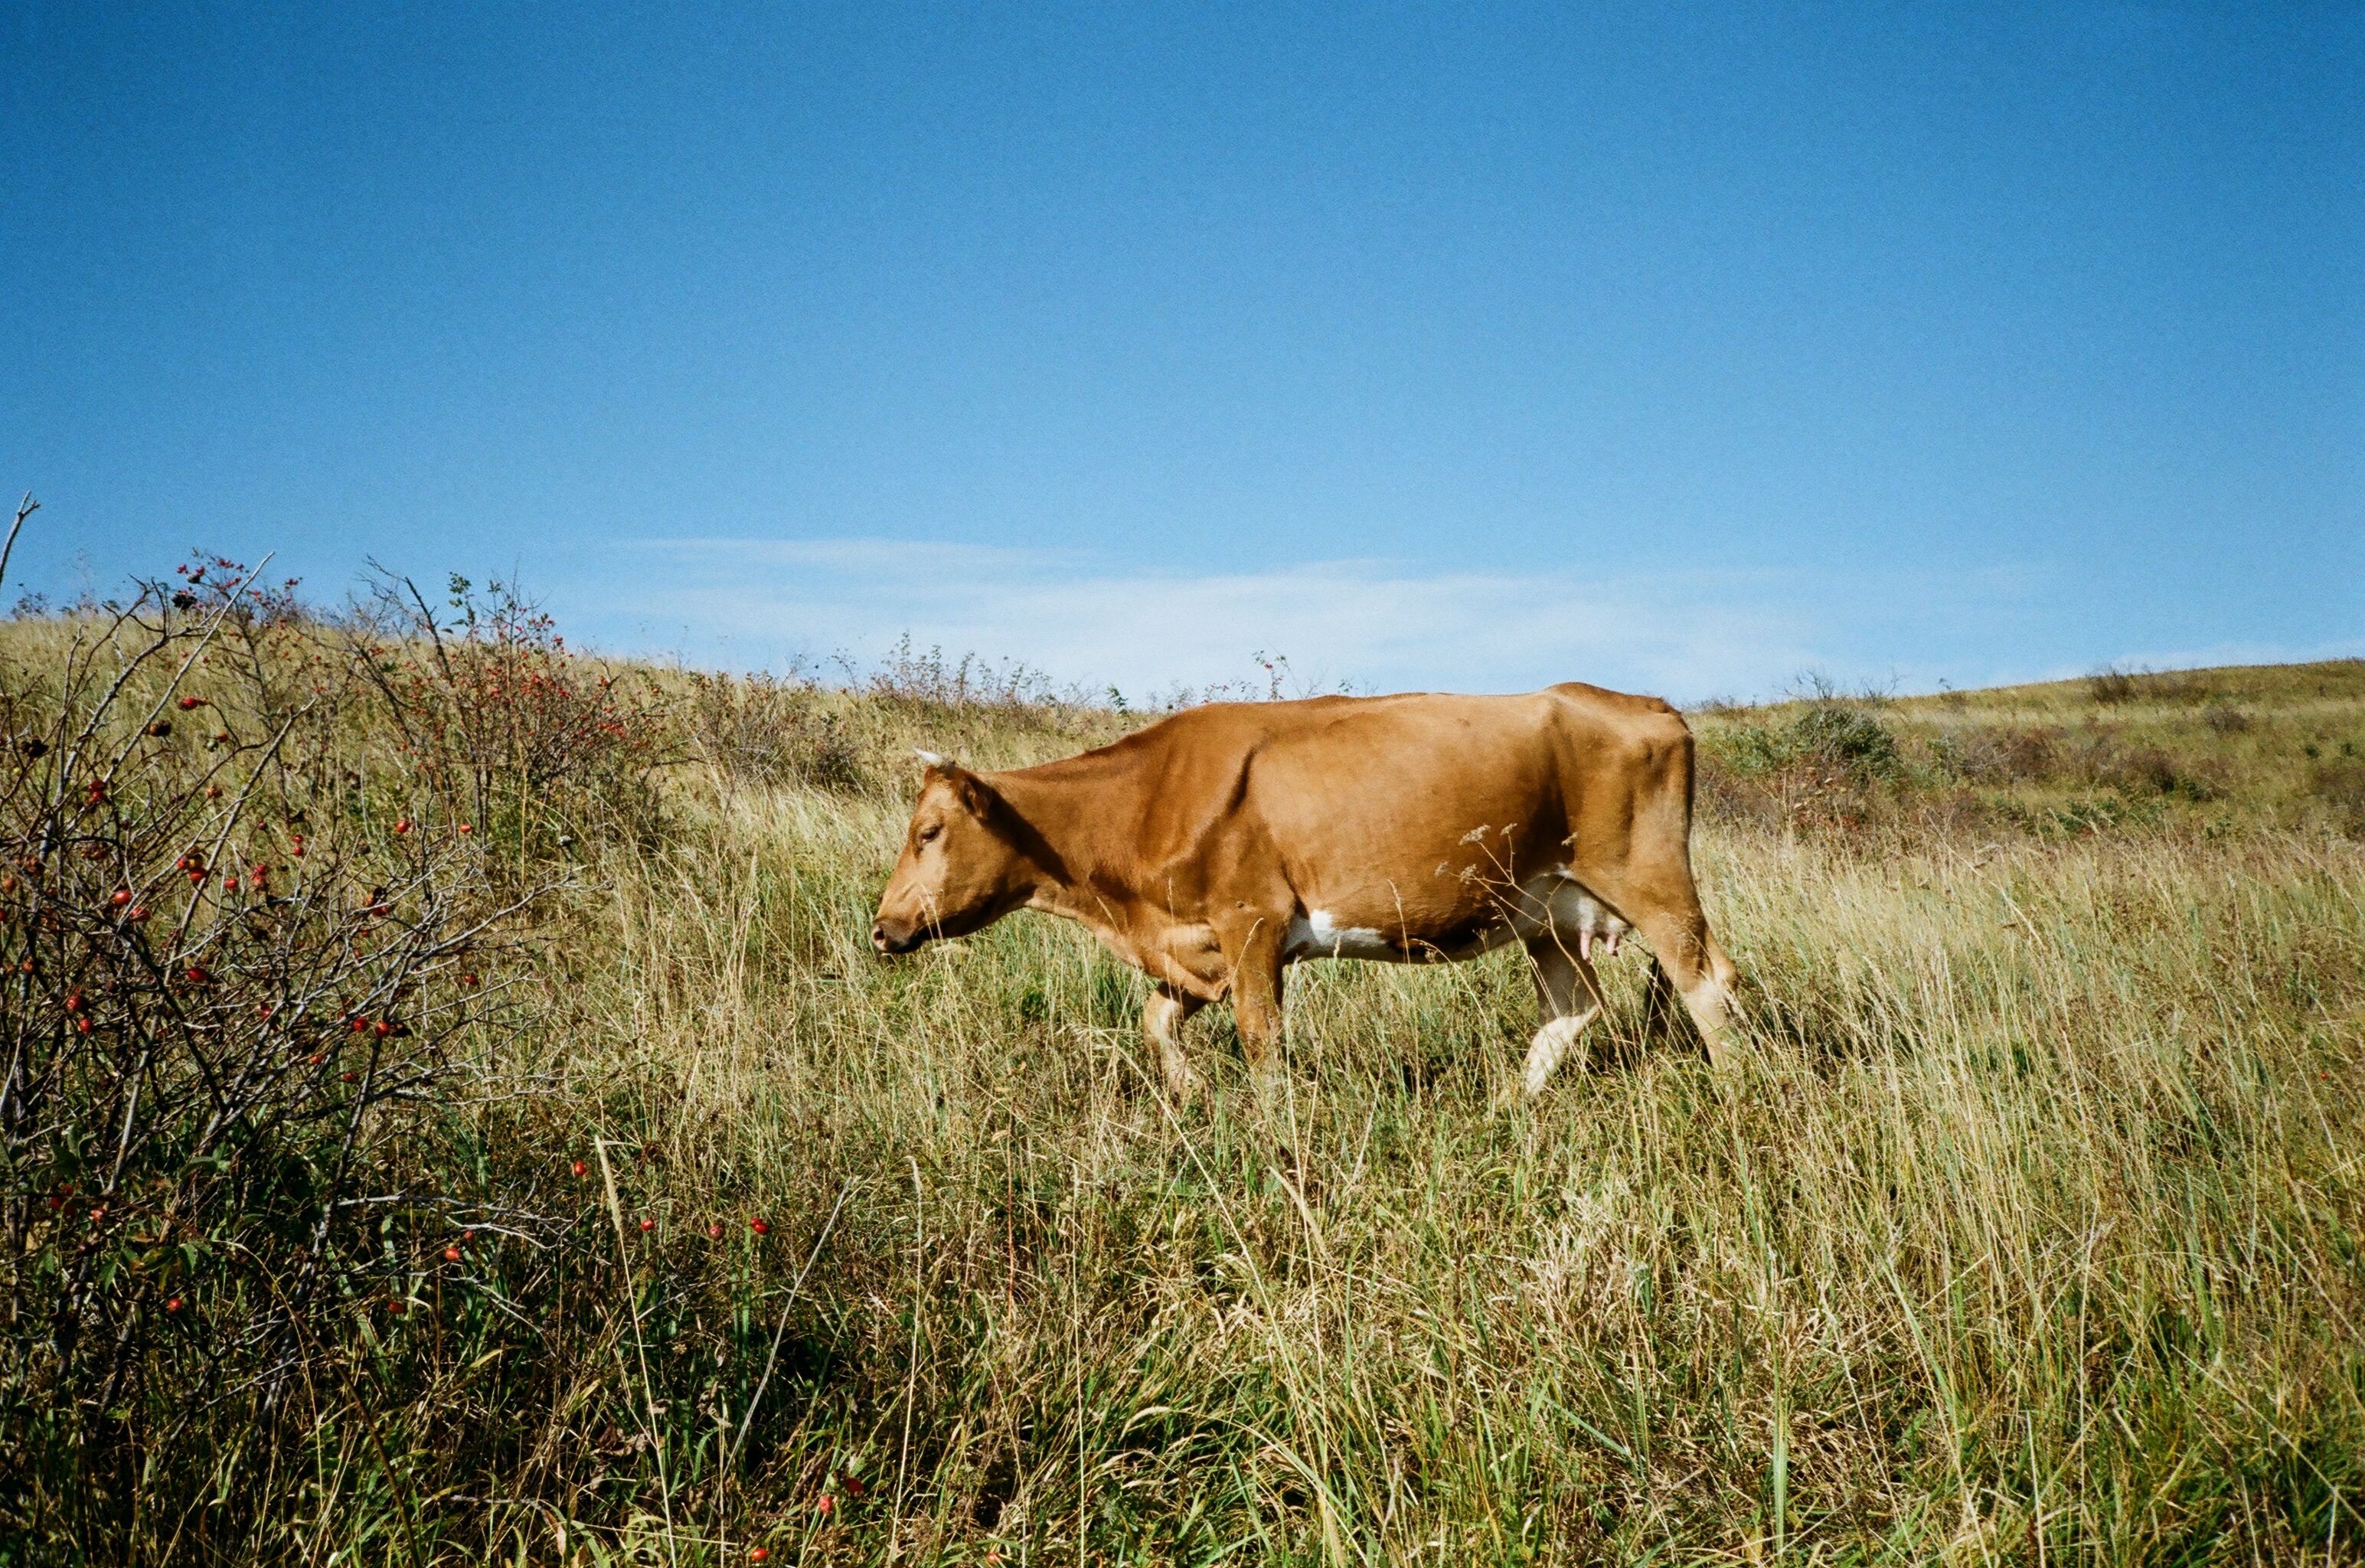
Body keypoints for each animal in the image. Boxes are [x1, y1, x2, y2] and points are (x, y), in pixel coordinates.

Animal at [870, 684, 1743, 1098]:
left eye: (929, 832)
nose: (882, 927)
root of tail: (1648, 706)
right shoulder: (1195, 944)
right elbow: (1155, 1020)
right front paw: (1189, 1093)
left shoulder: (1251, 922)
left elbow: (1261, 1040)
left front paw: (1272, 1134)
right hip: (1548, 912)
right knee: (1572, 1007)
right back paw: (1505, 1110)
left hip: (1653, 880)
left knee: (1707, 985)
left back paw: (1736, 1098)